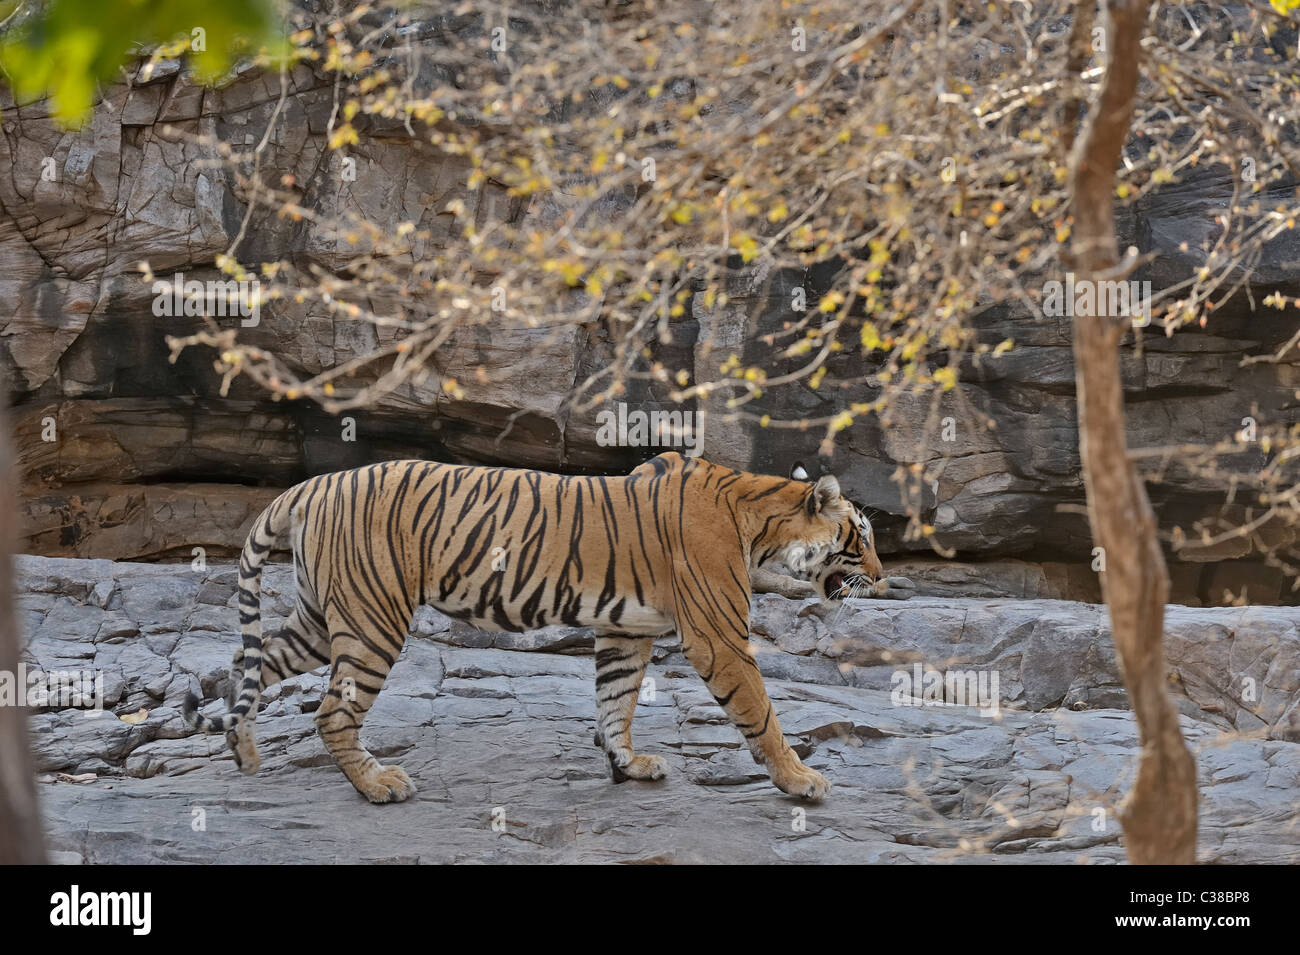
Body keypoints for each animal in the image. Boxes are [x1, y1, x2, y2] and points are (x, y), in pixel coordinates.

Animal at [181, 451, 885, 804]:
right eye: (862, 539)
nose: (882, 578)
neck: (760, 524)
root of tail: (309, 486)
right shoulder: (717, 634)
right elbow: (760, 712)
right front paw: (800, 781)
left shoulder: (626, 629)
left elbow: (615, 701)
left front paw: (628, 765)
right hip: (371, 618)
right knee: (330, 711)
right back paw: (378, 784)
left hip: (324, 617)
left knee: (250, 661)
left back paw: (243, 750)